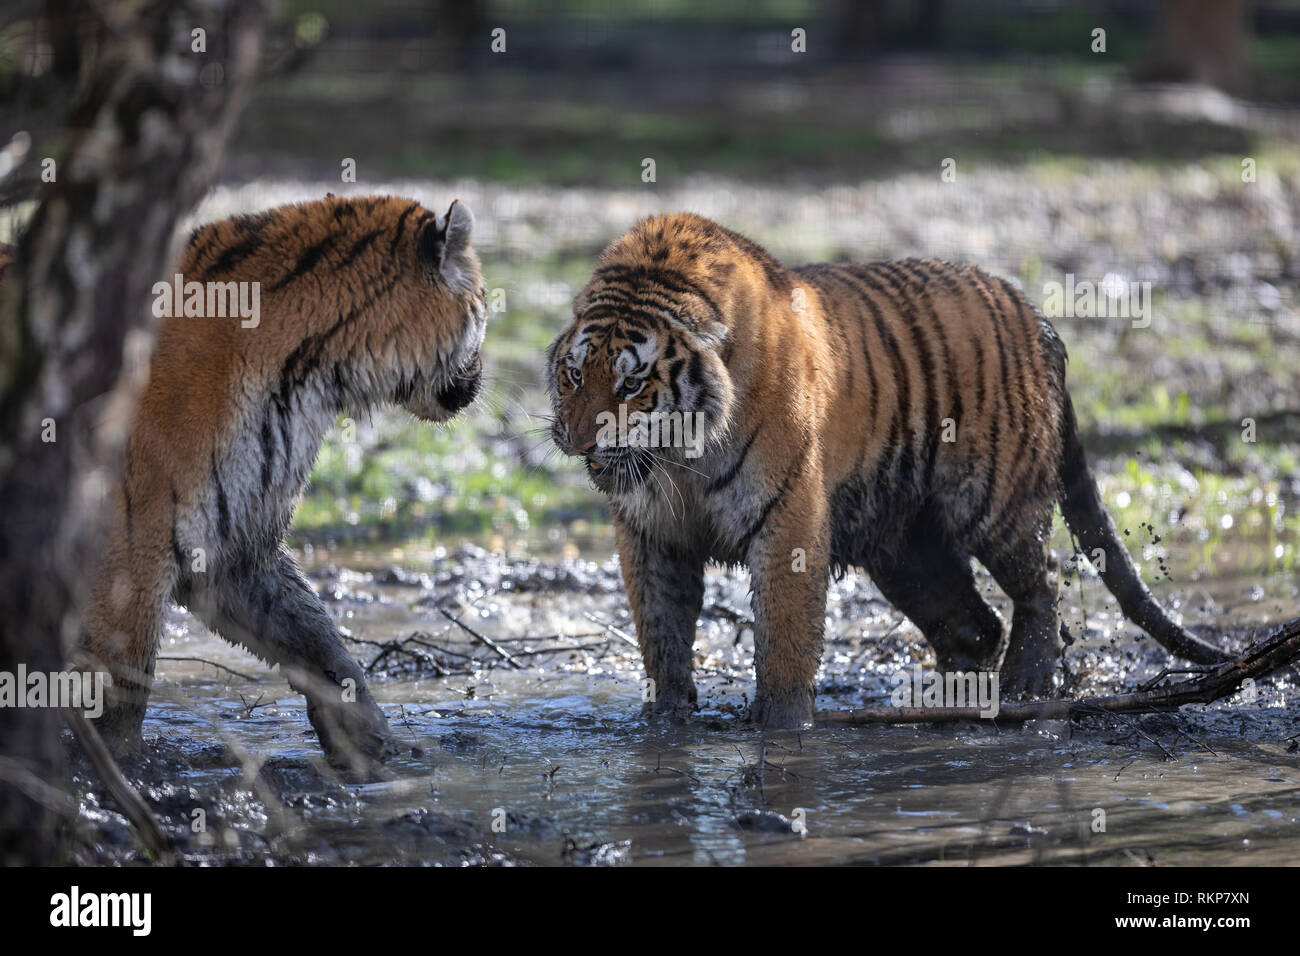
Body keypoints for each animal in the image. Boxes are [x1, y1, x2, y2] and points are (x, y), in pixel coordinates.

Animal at [78, 194, 487, 775]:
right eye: (484, 301)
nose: (480, 378)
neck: (309, 375)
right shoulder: (131, 553)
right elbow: (122, 690)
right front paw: (118, 772)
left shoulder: (231, 543)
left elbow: (313, 635)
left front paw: (366, 738)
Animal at [546, 212, 1227, 729]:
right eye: (575, 374)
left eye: (632, 384)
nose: (578, 443)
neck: (679, 457)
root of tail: (1033, 312)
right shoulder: (651, 535)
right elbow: (660, 631)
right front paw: (665, 722)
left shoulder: (786, 519)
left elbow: (784, 635)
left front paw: (782, 728)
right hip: (904, 547)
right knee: (974, 624)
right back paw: (948, 702)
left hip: (992, 502)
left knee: (1041, 586)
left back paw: (1026, 686)